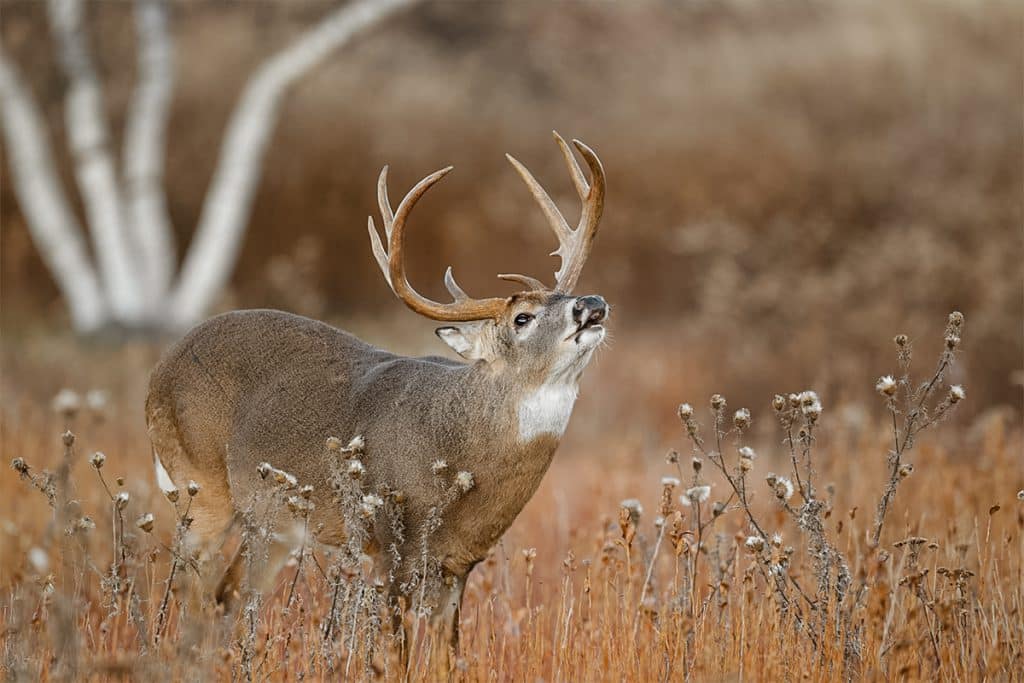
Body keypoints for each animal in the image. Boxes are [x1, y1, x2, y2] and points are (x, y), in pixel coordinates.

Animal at [145, 132, 608, 650]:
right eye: (522, 318)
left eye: (568, 296)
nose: (592, 304)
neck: (458, 451)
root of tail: (160, 368)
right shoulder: (391, 546)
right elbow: (394, 652)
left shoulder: (459, 564)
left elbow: (447, 655)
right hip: (201, 485)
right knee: (189, 588)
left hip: (274, 524)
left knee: (226, 596)